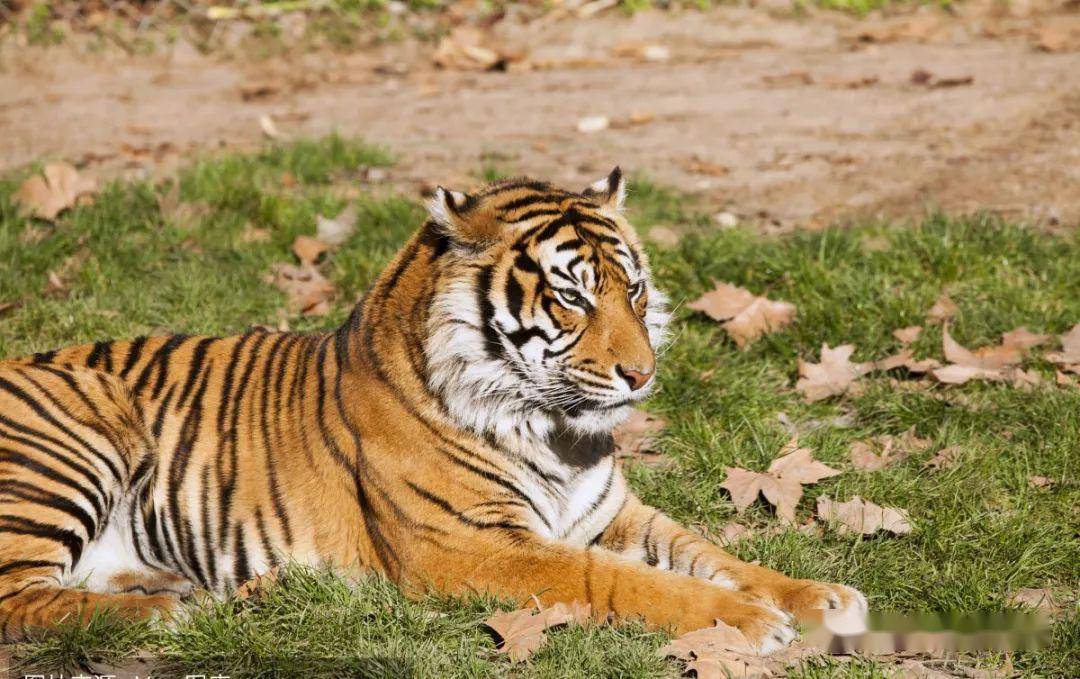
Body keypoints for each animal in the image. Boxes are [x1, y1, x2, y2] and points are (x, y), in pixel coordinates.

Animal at [0, 168, 866, 651]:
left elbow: (707, 550)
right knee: (16, 598)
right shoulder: (470, 544)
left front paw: (816, 594)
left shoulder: (610, 512)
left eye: (635, 288)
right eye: (574, 296)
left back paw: (186, 591)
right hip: (80, 436)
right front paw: (746, 622)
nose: (643, 375)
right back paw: (167, 616)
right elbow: (621, 580)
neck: (556, 431)